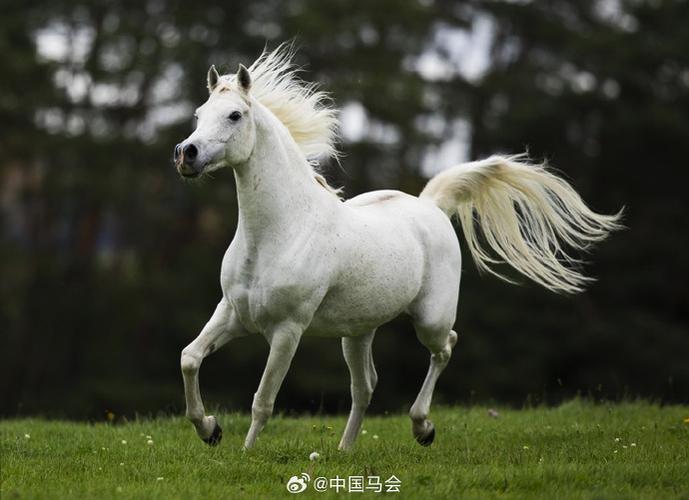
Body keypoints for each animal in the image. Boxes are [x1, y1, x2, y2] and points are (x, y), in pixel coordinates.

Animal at [174, 44, 621, 450]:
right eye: (199, 114)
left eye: (235, 115)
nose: (186, 154)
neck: (279, 233)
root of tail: (430, 205)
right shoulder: (233, 313)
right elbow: (189, 358)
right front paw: (210, 430)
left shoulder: (287, 330)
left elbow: (263, 401)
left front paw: (244, 455)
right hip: (357, 332)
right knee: (366, 386)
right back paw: (344, 451)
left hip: (430, 319)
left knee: (444, 348)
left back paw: (423, 428)